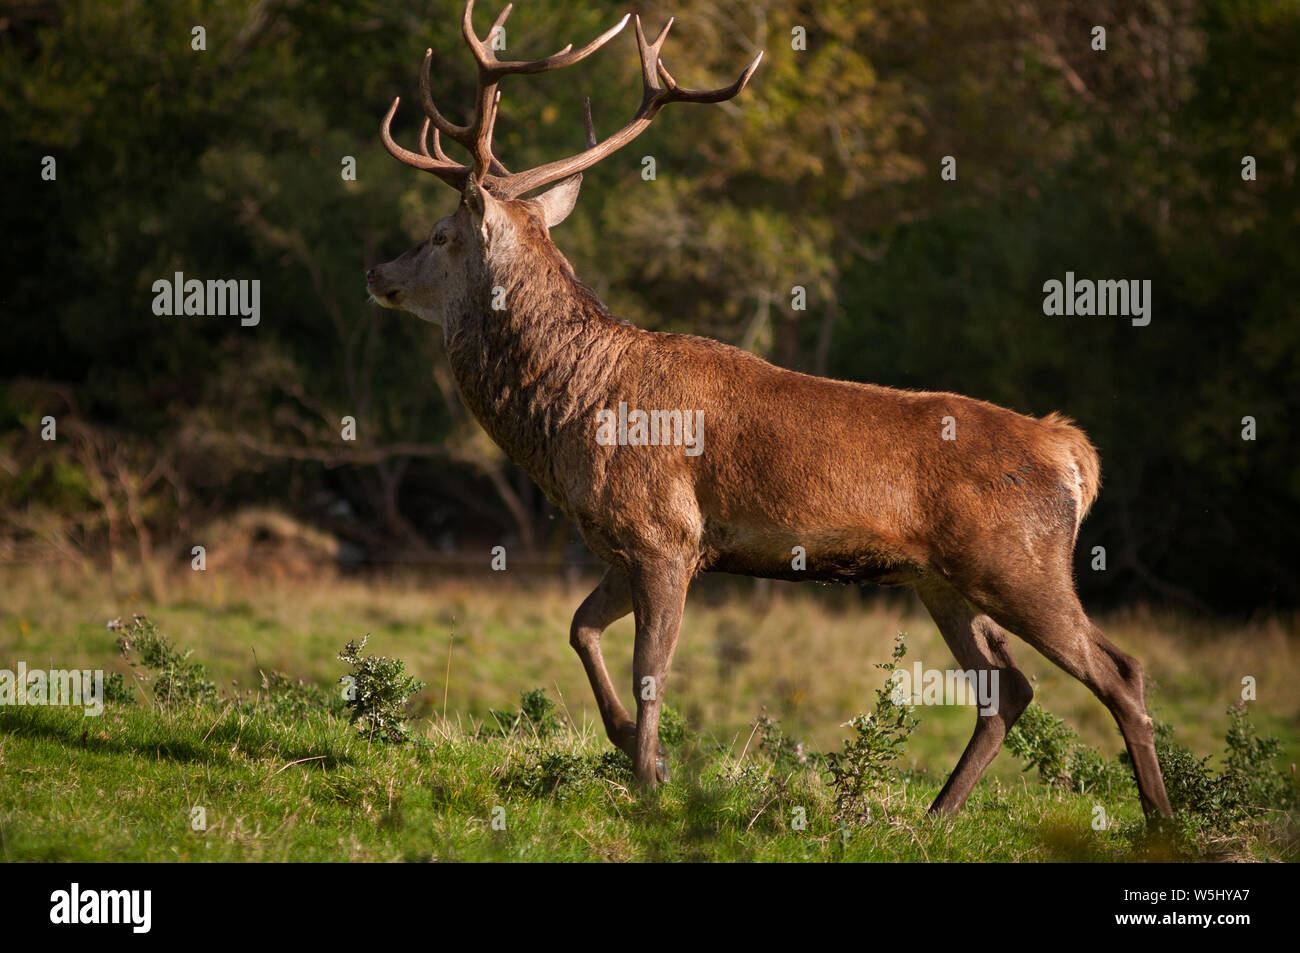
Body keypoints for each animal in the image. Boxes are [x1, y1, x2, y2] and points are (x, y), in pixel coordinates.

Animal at [365, 0, 1173, 820]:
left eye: (438, 234)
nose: (377, 270)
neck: (569, 413)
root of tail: (1072, 452)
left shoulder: (666, 532)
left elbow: (649, 667)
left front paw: (649, 780)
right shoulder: (629, 544)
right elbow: (580, 629)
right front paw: (632, 747)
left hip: (1021, 562)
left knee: (1120, 672)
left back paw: (1160, 818)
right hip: (944, 581)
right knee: (1008, 688)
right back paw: (938, 815)